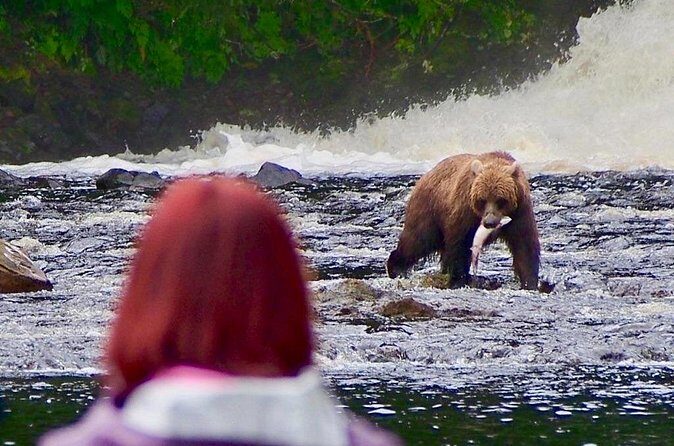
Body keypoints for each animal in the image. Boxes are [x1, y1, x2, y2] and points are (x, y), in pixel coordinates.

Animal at [386, 151, 540, 290]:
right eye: (482, 200)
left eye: (501, 199)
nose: (489, 222)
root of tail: (426, 175)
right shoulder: (465, 212)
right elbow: (459, 245)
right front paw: (458, 280)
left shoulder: (520, 212)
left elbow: (524, 245)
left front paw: (529, 283)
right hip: (429, 210)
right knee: (417, 240)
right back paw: (396, 267)